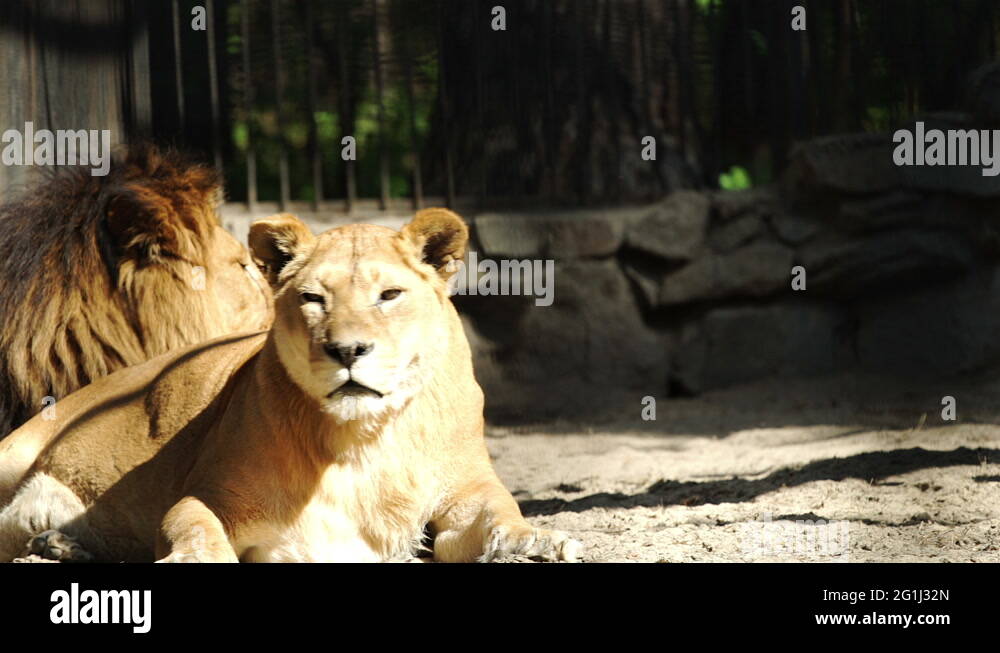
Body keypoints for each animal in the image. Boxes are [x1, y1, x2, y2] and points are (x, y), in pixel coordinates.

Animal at [0, 209, 582, 563]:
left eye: (389, 295)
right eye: (313, 299)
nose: (348, 351)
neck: (363, 438)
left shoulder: (465, 492)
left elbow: (499, 514)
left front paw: (536, 542)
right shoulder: (214, 498)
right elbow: (196, 528)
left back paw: (58, 542)